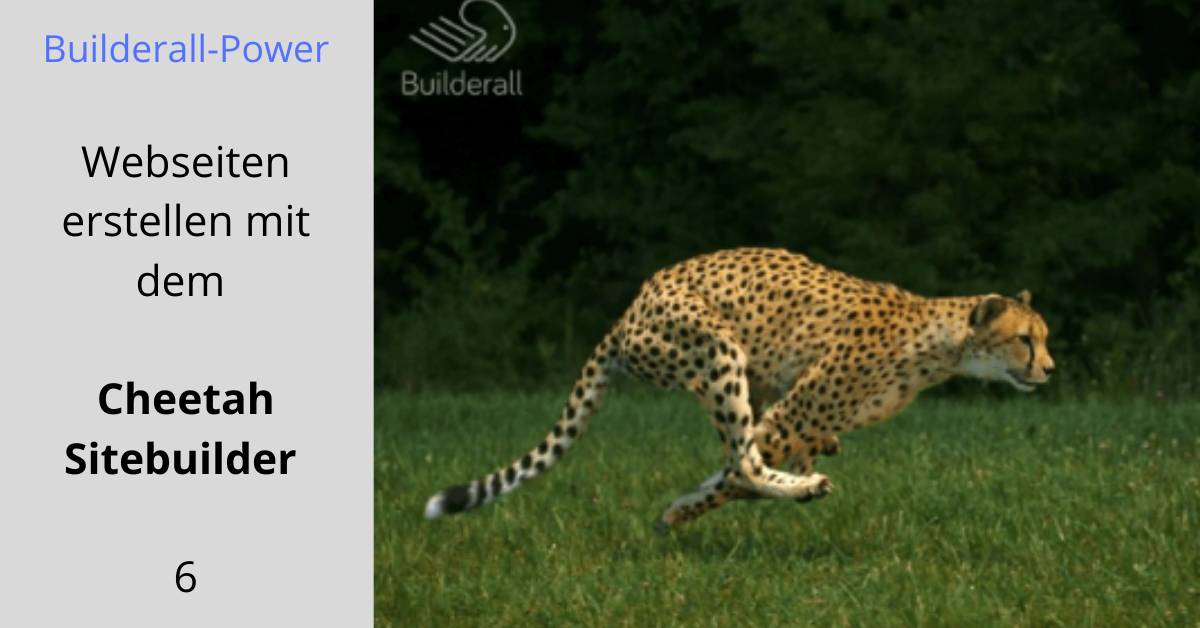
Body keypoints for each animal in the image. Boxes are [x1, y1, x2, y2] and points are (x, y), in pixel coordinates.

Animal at [423, 248, 1055, 530]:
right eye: (1025, 339)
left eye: (1043, 338)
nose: (1050, 369)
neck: (942, 344)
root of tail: (628, 311)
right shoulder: (790, 414)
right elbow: (733, 476)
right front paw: (679, 512)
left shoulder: (793, 417)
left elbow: (743, 466)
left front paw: (683, 507)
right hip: (720, 349)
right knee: (744, 459)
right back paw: (799, 489)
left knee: (741, 447)